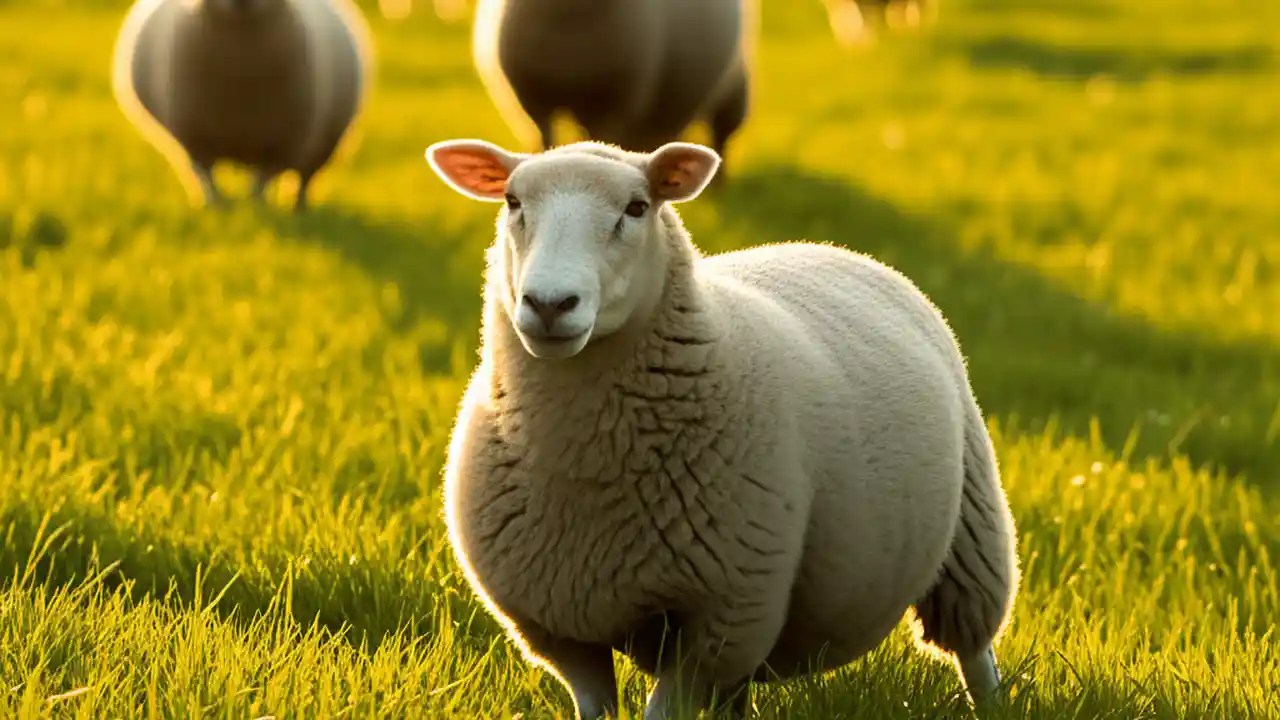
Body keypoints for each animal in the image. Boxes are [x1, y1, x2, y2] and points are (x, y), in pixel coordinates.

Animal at [111, 0, 373, 212]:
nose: (241, 1)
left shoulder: (279, 144)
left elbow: (261, 183)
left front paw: (256, 208)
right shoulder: (195, 138)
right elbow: (207, 178)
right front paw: (215, 207)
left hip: (323, 146)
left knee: (304, 180)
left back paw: (298, 209)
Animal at [425, 137, 1020, 719]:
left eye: (636, 207)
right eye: (512, 202)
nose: (550, 304)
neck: (584, 471)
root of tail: (831, 247)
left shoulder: (719, 619)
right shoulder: (558, 630)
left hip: (972, 532)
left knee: (974, 648)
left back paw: (990, 702)